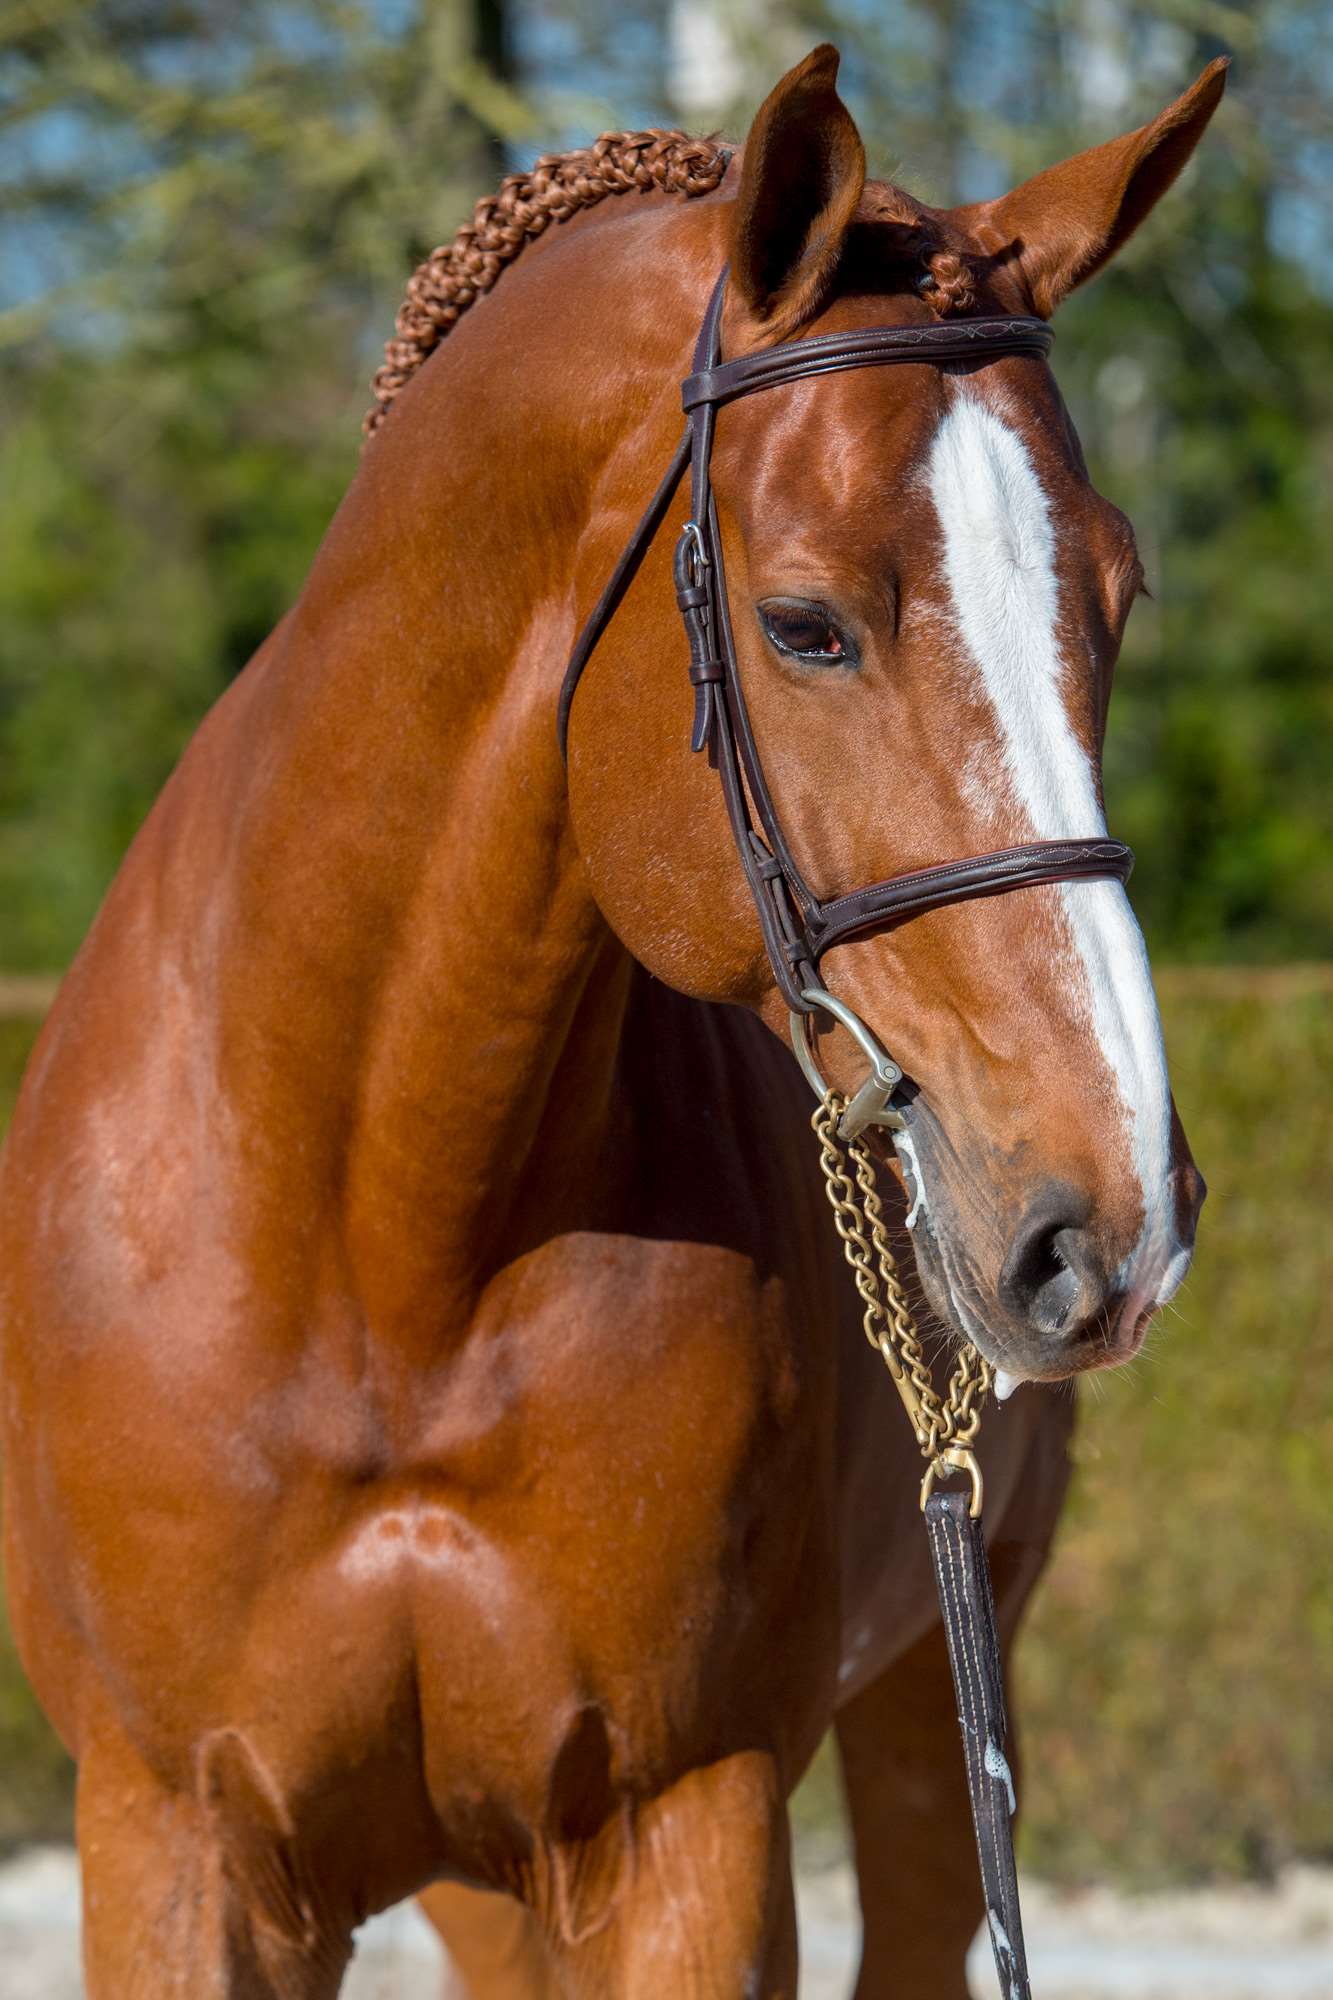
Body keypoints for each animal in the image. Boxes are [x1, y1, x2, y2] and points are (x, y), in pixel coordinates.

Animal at [0, 42, 1222, 1999]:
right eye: (803, 627)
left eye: (1115, 599)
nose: (1109, 1222)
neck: (380, 1246)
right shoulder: (179, 1843)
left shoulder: (683, 1840)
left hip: (935, 1693)